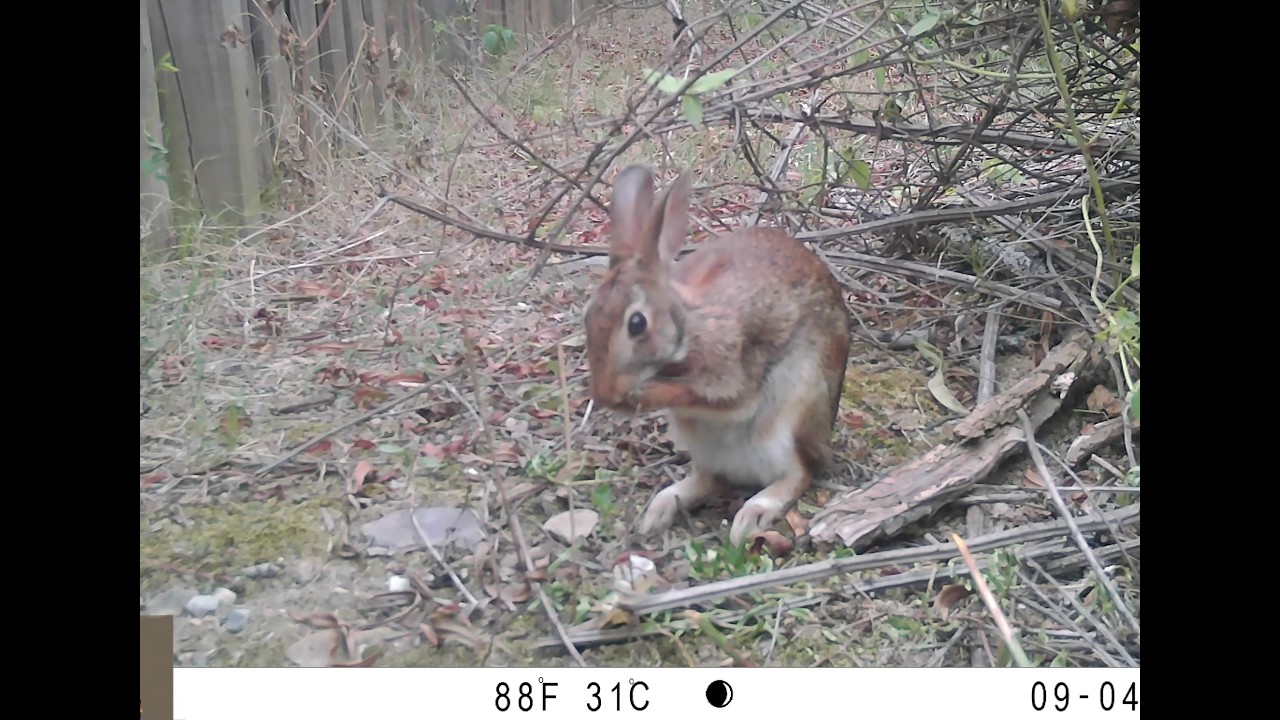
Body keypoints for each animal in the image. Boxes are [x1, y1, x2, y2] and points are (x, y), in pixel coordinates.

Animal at [584, 164, 851, 546]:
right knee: (709, 479)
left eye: (637, 324)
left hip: (790, 421)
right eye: (588, 317)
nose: (605, 394)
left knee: (799, 474)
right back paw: (660, 510)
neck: (689, 328)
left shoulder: (736, 376)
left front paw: (644, 394)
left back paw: (752, 515)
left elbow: (708, 396)